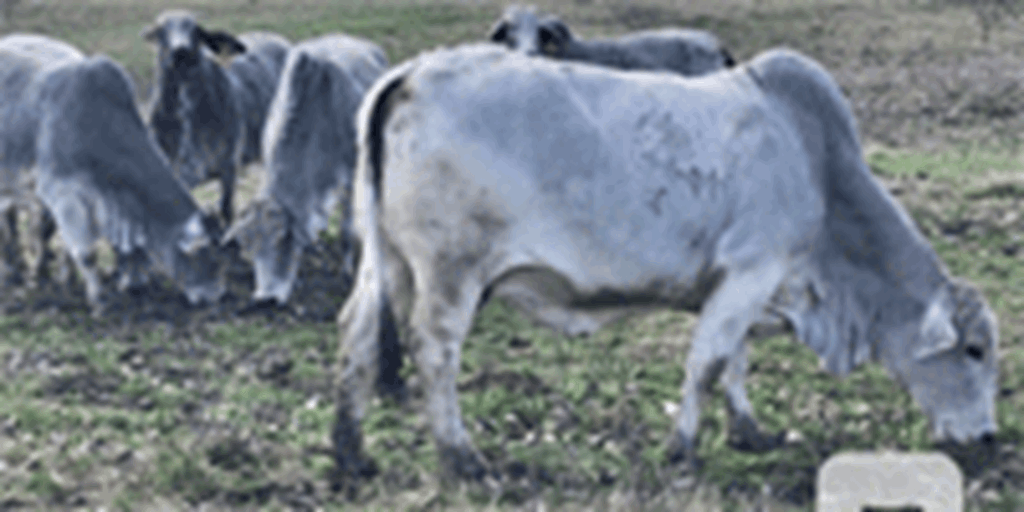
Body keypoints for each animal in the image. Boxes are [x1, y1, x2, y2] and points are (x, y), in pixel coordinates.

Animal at [1, 45, 227, 314]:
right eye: (205, 254)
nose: (216, 296)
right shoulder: (63, 195)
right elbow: (86, 253)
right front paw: (99, 300)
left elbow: (68, 249)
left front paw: (67, 280)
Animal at [223, 33, 388, 308]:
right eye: (249, 247)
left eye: (282, 239)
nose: (266, 299)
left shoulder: (351, 174)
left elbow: (346, 230)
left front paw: (347, 269)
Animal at [330, 44, 1000, 485]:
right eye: (973, 350)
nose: (990, 439)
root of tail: (410, 73)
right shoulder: (750, 272)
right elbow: (707, 365)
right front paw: (683, 450)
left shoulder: (748, 286)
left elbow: (735, 362)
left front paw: (747, 430)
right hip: (451, 273)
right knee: (435, 352)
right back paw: (461, 456)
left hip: (387, 263)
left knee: (358, 334)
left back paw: (352, 451)